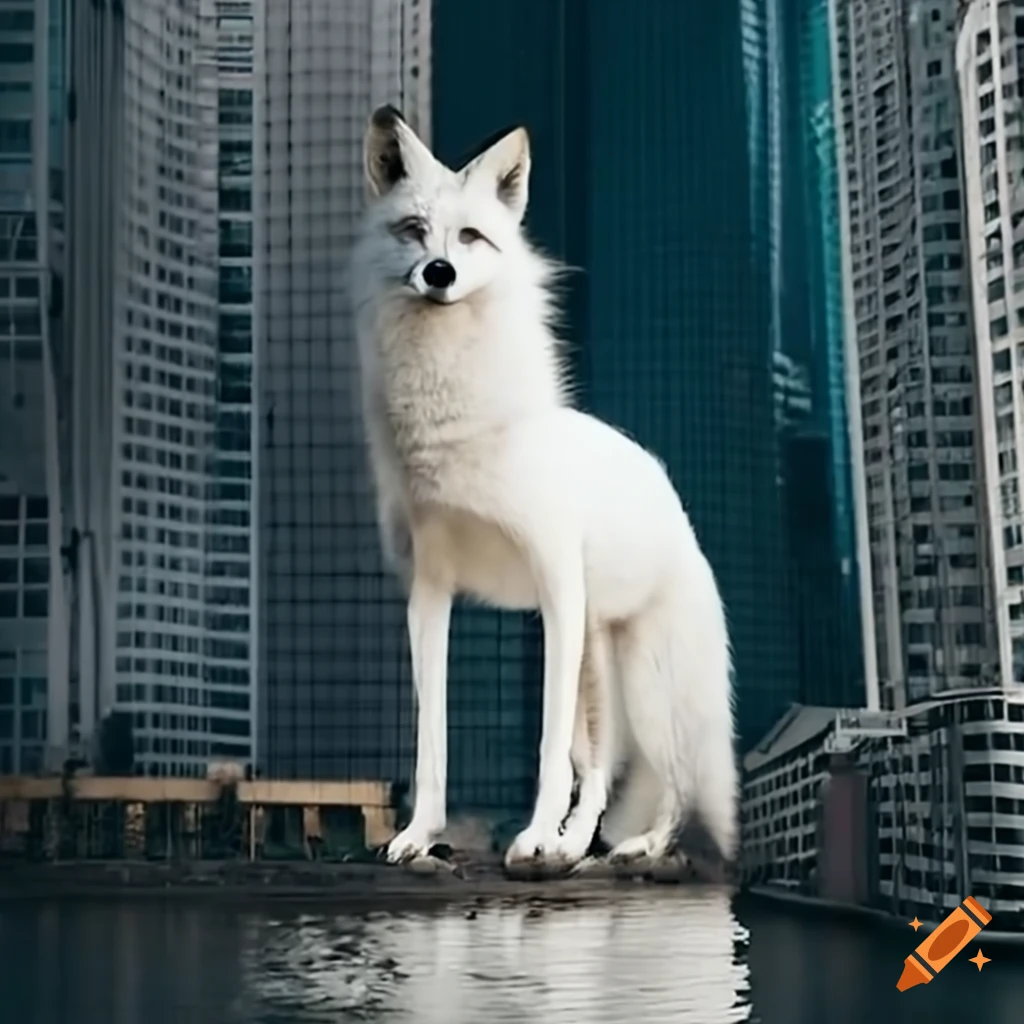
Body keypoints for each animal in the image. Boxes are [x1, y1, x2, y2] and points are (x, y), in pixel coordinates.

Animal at [350, 105, 738, 872]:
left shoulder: (556, 581)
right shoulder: (430, 592)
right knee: (598, 779)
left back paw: (638, 848)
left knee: (672, 783)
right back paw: (571, 849)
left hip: (644, 690)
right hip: (599, 674)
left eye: (472, 236)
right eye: (413, 230)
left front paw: (529, 836)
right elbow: (432, 743)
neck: (455, 430)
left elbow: (546, 748)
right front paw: (421, 836)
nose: (439, 272)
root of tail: (670, 497)